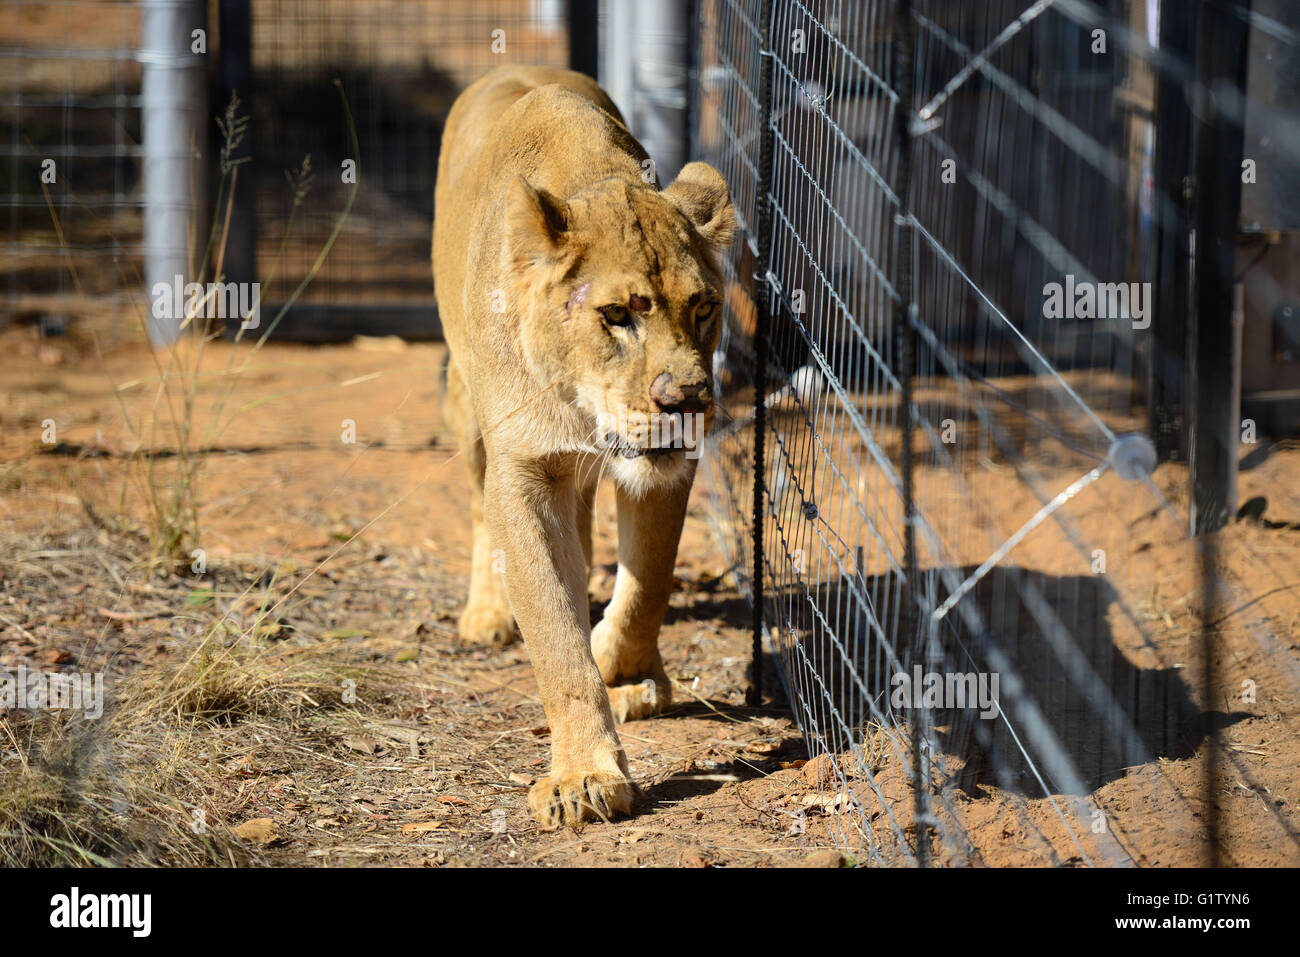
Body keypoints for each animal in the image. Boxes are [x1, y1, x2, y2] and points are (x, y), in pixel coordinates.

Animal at [432, 65, 734, 826]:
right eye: (616, 314)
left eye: (704, 307)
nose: (687, 399)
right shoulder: (523, 470)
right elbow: (553, 632)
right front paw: (583, 776)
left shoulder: (666, 467)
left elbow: (647, 582)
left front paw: (627, 675)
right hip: (465, 402)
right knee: (477, 511)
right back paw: (487, 612)